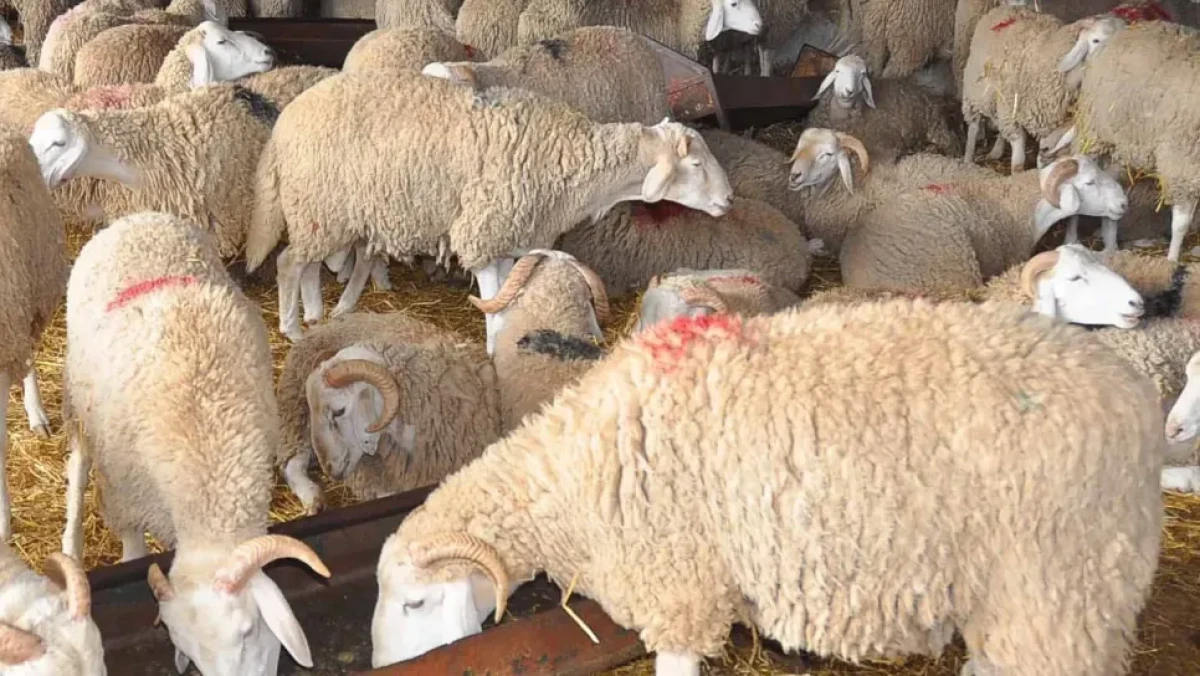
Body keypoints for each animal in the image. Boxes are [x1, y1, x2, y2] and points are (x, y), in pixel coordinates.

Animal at [60, 211, 331, 674]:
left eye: (249, 630)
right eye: (189, 650)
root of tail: (137, 218)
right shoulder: (126, 495)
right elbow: (132, 549)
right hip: (82, 403)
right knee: (78, 464)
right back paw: (71, 540)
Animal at [243, 72, 733, 350]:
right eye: (694, 165)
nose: (729, 200)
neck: (570, 158)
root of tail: (284, 124)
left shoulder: (514, 240)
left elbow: (512, 299)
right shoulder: (483, 233)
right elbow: (494, 307)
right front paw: (496, 350)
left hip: (323, 215)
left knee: (306, 265)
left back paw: (314, 314)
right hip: (319, 207)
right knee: (288, 263)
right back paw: (292, 328)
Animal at [370, 298, 1164, 676]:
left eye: (416, 602)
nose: (381, 665)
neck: (570, 480)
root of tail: (1130, 395)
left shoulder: (682, 592)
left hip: (1059, 595)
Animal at [961, 8, 1123, 173]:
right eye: (1096, 40)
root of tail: (1005, 8)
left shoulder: (1051, 122)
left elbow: (1043, 151)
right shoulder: (1012, 111)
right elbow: (1018, 159)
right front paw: (1016, 174)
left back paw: (996, 151)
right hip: (974, 91)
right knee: (973, 126)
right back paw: (968, 159)